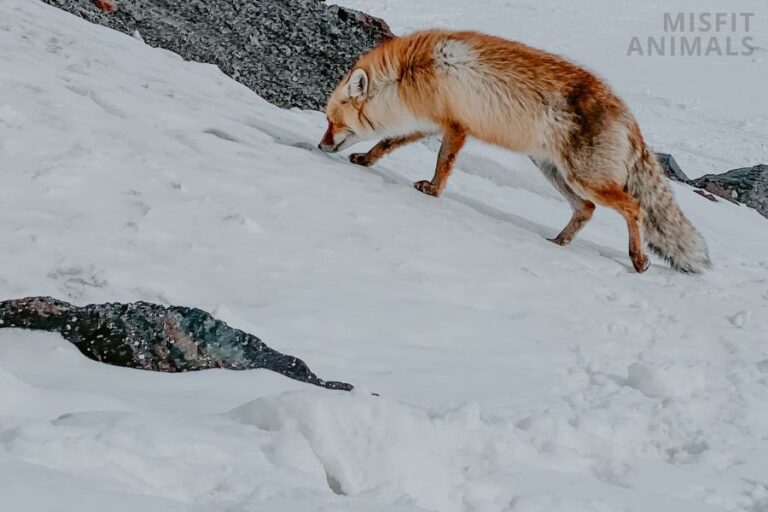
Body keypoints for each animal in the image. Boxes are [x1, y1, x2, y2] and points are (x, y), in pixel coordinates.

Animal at [318, 30, 710, 273]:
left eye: (332, 121)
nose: (321, 146)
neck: (410, 71)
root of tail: (629, 115)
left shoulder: (456, 126)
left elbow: (443, 163)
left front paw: (432, 191)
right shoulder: (431, 122)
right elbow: (386, 143)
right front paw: (366, 160)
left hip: (585, 178)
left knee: (635, 208)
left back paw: (638, 259)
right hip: (556, 173)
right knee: (586, 209)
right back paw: (559, 242)